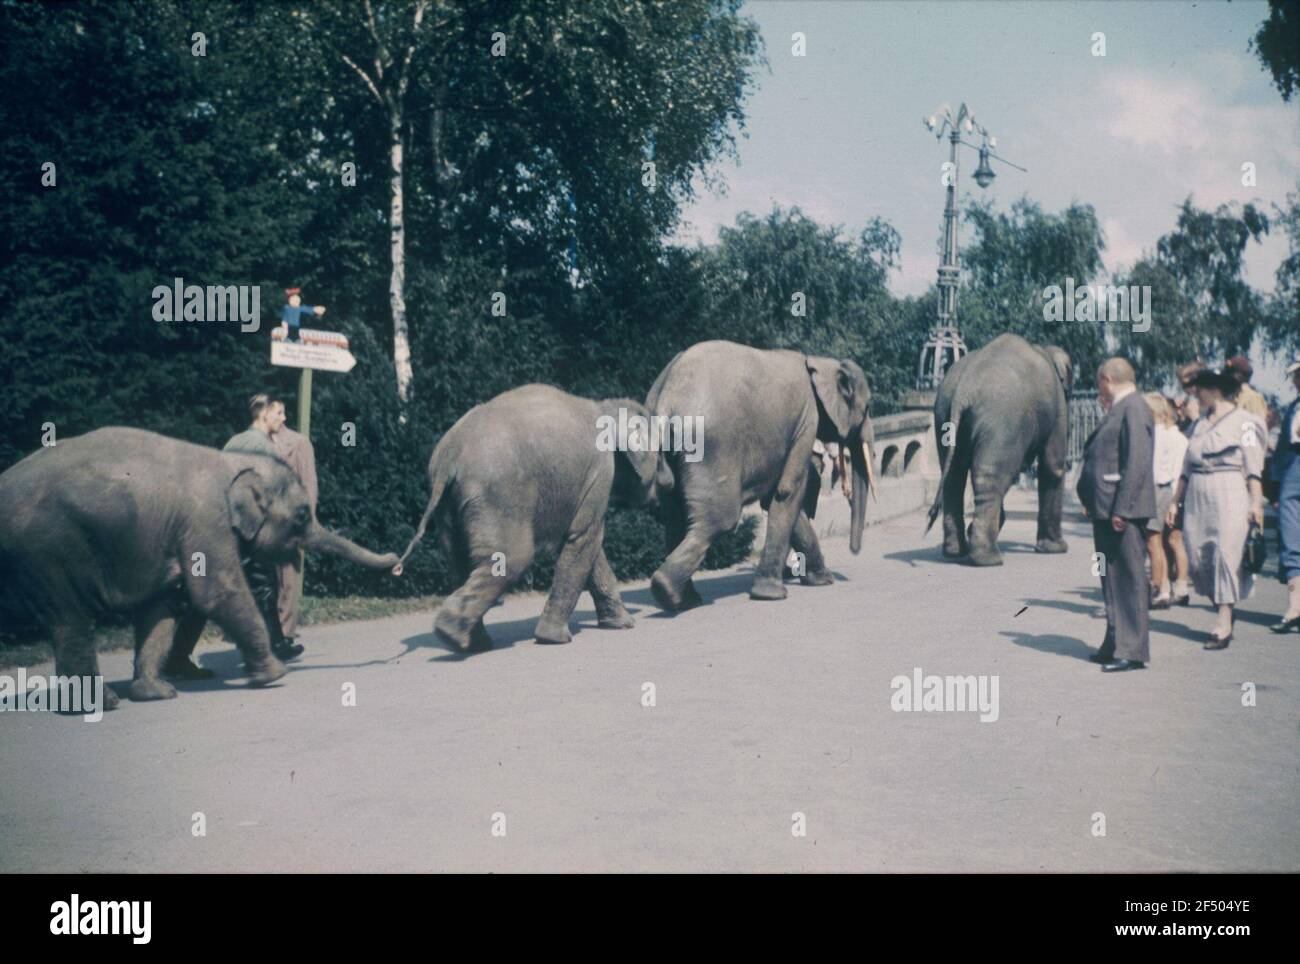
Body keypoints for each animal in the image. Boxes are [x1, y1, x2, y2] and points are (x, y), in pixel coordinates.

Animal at [0, 427, 400, 709]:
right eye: (303, 515)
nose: (397, 560)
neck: (232, 462)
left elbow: (161, 610)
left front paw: (157, 693)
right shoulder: (207, 521)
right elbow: (217, 592)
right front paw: (275, 674)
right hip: (47, 549)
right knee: (72, 619)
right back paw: (100, 705)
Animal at [394, 384, 663, 650]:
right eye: (661, 456)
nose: (667, 485)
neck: (605, 405)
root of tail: (448, 458)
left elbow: (583, 546)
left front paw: (622, 625)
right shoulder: (600, 472)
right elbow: (584, 537)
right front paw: (554, 639)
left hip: (450, 505)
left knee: (460, 561)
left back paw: (467, 641)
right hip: (498, 496)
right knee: (514, 559)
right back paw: (454, 634)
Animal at [645, 340, 875, 610]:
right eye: (867, 407)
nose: (854, 551)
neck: (821, 362)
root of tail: (666, 398)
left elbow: (778, 498)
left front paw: (822, 581)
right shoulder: (806, 421)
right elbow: (788, 492)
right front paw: (772, 595)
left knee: (674, 517)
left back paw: (683, 601)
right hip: (710, 449)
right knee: (719, 519)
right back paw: (667, 592)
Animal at [925, 332, 1073, 566]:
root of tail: (964, 388)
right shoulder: (1057, 406)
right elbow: (1053, 466)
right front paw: (1057, 549)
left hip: (943, 413)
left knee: (953, 479)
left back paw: (956, 551)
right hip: (1002, 422)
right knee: (990, 477)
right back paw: (989, 559)